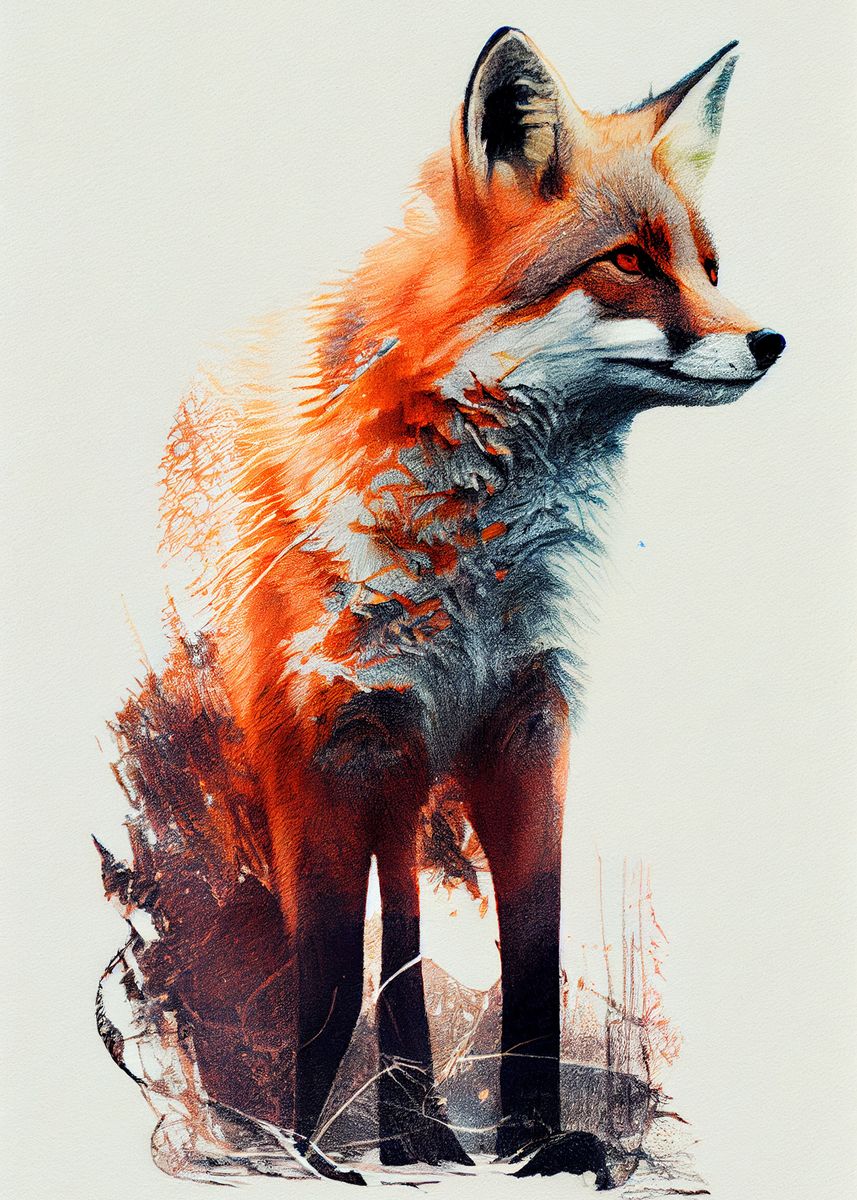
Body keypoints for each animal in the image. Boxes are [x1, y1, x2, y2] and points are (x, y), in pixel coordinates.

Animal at [162, 27, 785, 1183]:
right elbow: (347, 970)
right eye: (628, 262)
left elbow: (529, 955)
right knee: (366, 945)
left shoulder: (524, 720)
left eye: (706, 265)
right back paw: (367, 1135)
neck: (474, 569)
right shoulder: (334, 744)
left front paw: (534, 1139)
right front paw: (331, 1150)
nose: (771, 341)